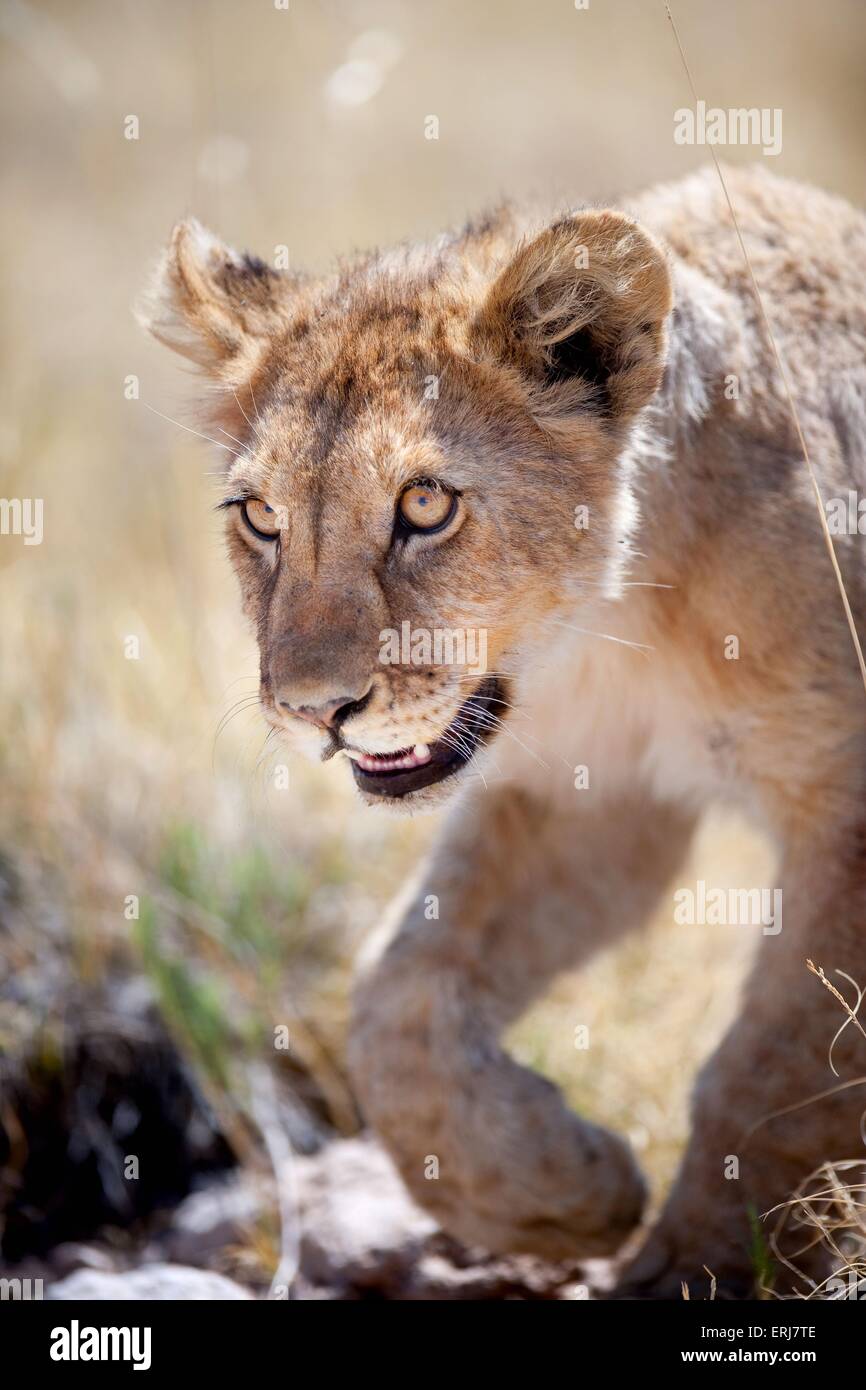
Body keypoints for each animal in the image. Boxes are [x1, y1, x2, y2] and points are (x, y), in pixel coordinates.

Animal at [142, 166, 866, 1297]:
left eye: (424, 504)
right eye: (259, 517)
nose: (311, 709)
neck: (623, 630)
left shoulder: (846, 814)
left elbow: (779, 1069)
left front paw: (701, 1263)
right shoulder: (590, 798)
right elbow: (396, 998)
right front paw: (564, 1189)